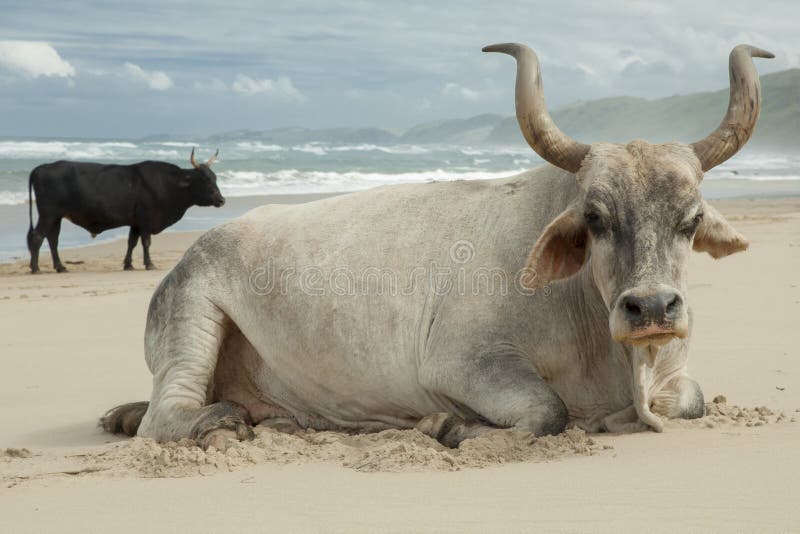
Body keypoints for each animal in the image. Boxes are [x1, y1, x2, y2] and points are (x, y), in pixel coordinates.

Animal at [27, 149, 225, 273]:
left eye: (215, 177)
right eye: (205, 180)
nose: (222, 200)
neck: (168, 185)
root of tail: (40, 168)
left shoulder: (135, 222)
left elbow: (131, 243)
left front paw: (128, 265)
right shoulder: (146, 219)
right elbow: (146, 242)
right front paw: (149, 264)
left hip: (56, 216)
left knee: (53, 239)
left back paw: (60, 267)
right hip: (48, 214)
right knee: (38, 237)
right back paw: (35, 268)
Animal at [101, 44, 771, 450]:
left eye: (690, 220)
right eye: (596, 218)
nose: (652, 309)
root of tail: (194, 249)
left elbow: (694, 401)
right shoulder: (461, 361)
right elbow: (548, 413)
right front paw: (447, 424)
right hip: (192, 310)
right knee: (168, 415)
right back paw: (212, 421)